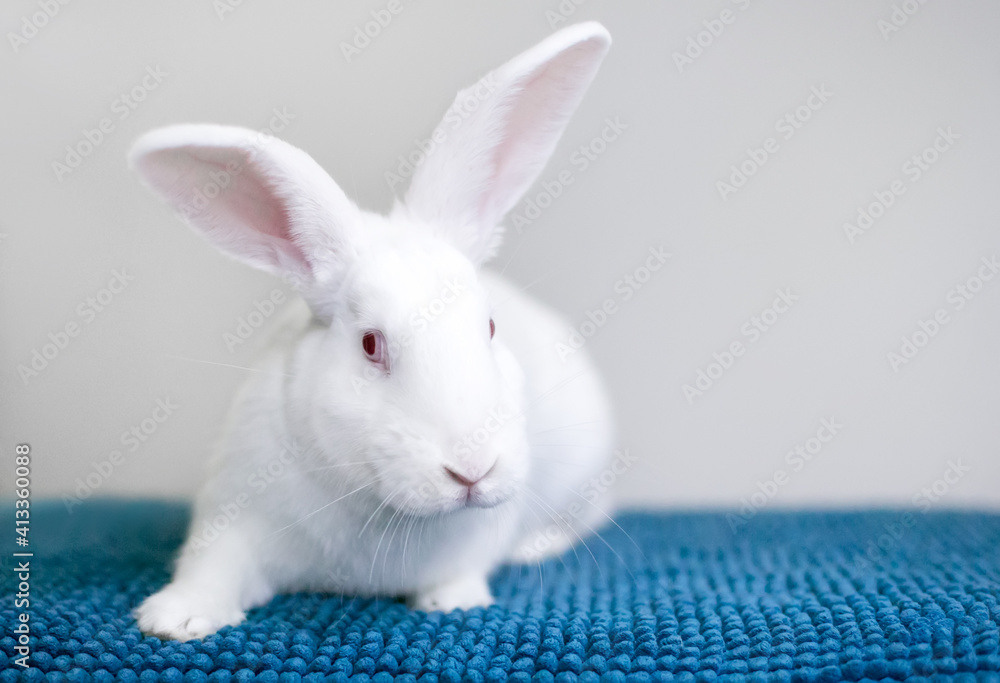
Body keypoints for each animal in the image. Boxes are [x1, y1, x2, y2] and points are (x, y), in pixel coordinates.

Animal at [130, 22, 616, 641]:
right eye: (370, 344)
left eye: (488, 326)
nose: (473, 471)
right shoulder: (234, 510)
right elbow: (212, 567)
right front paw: (175, 618)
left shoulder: (479, 536)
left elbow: (462, 570)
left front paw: (453, 603)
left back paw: (536, 545)